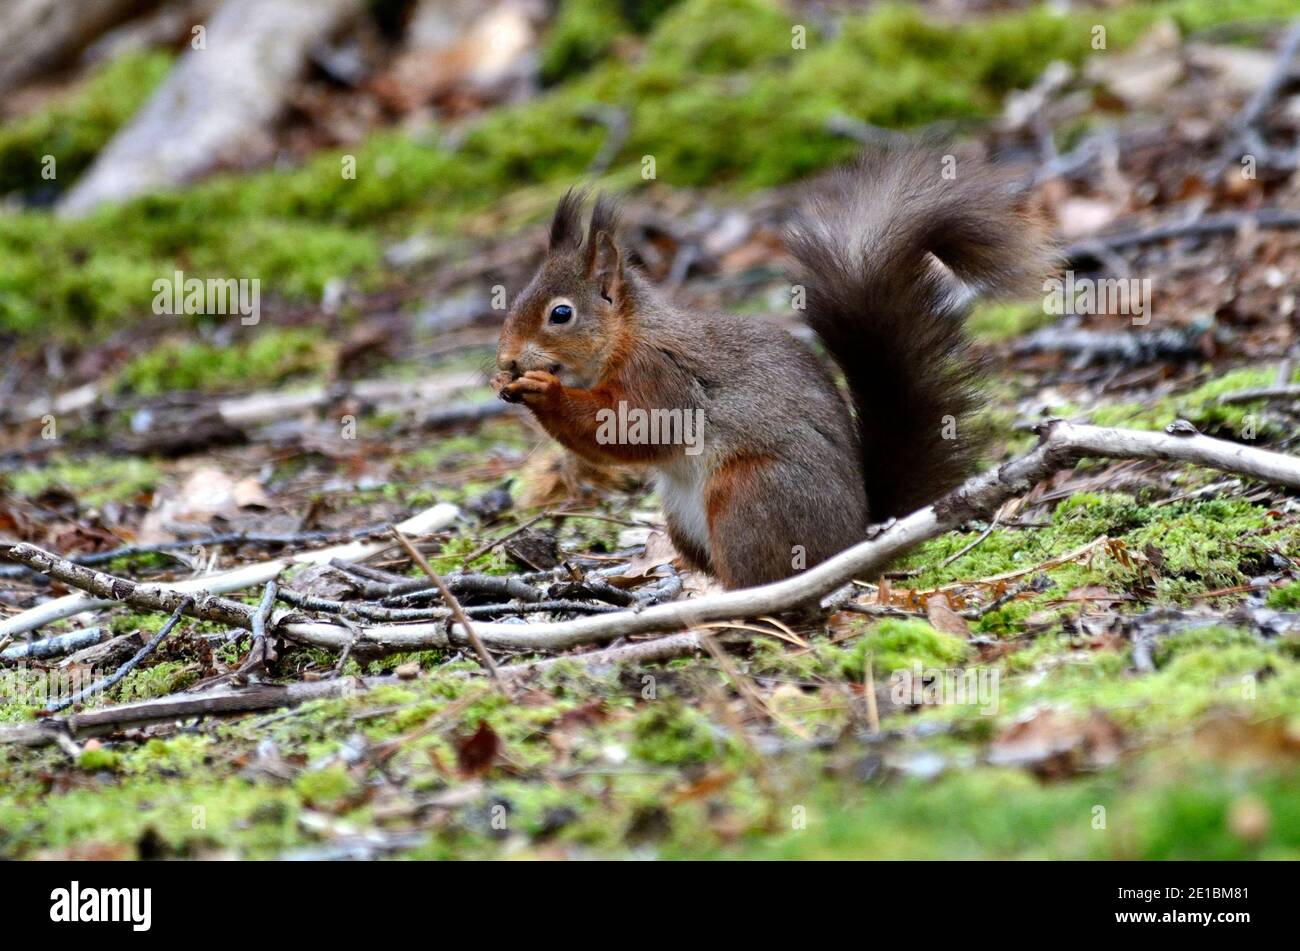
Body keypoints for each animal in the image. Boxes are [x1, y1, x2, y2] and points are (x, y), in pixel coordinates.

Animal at [493, 143, 1053, 589]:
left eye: (560, 314)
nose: (507, 358)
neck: (628, 338)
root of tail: (852, 542)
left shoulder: (662, 378)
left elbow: (633, 430)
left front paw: (544, 392)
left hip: (750, 494)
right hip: (683, 517)